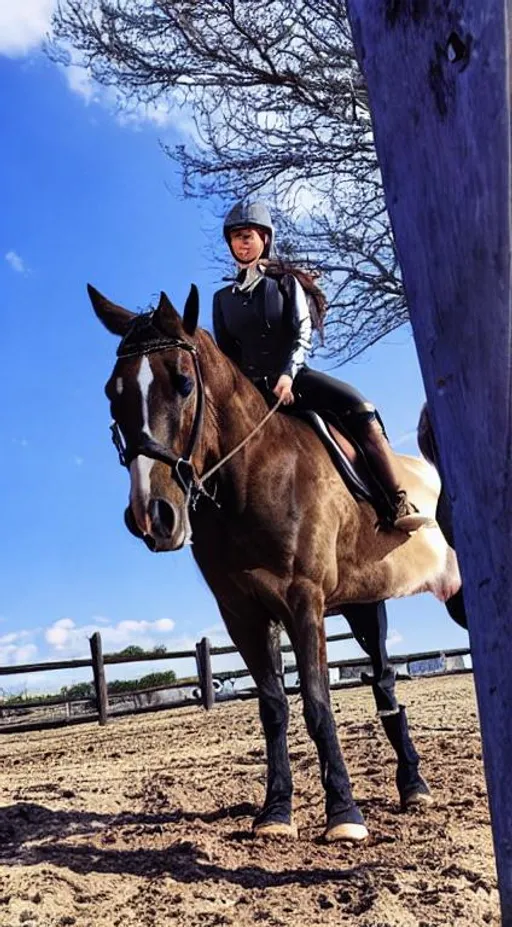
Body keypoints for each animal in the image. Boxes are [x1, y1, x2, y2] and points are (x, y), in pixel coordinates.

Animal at [88, 282, 464, 842]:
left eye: (182, 383)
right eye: (114, 393)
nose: (151, 516)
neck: (250, 477)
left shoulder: (302, 600)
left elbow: (317, 704)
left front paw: (343, 814)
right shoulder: (242, 613)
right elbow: (273, 708)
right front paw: (276, 811)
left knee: (385, 681)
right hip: (361, 606)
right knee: (383, 683)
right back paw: (411, 785)